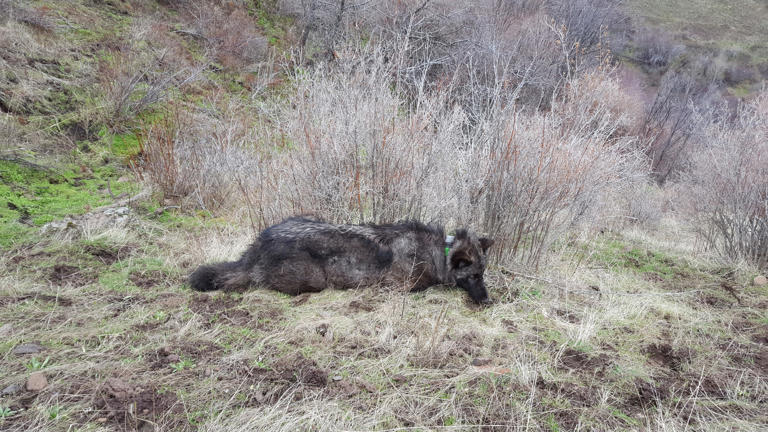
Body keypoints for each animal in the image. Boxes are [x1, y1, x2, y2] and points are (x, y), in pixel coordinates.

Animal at [189, 217, 494, 303]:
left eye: (482, 274)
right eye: (474, 276)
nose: (489, 301)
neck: (439, 254)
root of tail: (259, 244)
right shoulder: (400, 286)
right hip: (313, 279)